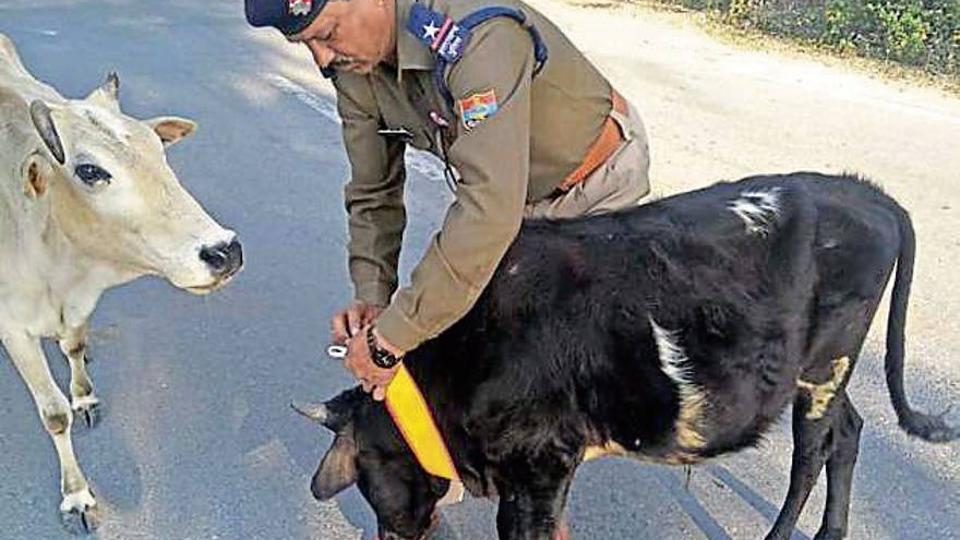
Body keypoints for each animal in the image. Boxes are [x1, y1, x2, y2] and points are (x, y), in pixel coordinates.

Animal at [1, 34, 242, 533]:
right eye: (90, 171)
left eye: (160, 152)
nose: (224, 251)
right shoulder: (13, 328)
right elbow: (54, 415)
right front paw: (77, 496)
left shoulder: (80, 302)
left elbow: (74, 347)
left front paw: (85, 395)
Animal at [296, 172, 957, 540]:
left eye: (364, 477)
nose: (390, 536)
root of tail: (866, 192)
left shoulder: (540, 465)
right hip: (823, 375)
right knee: (850, 430)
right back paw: (831, 531)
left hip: (824, 368)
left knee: (811, 453)